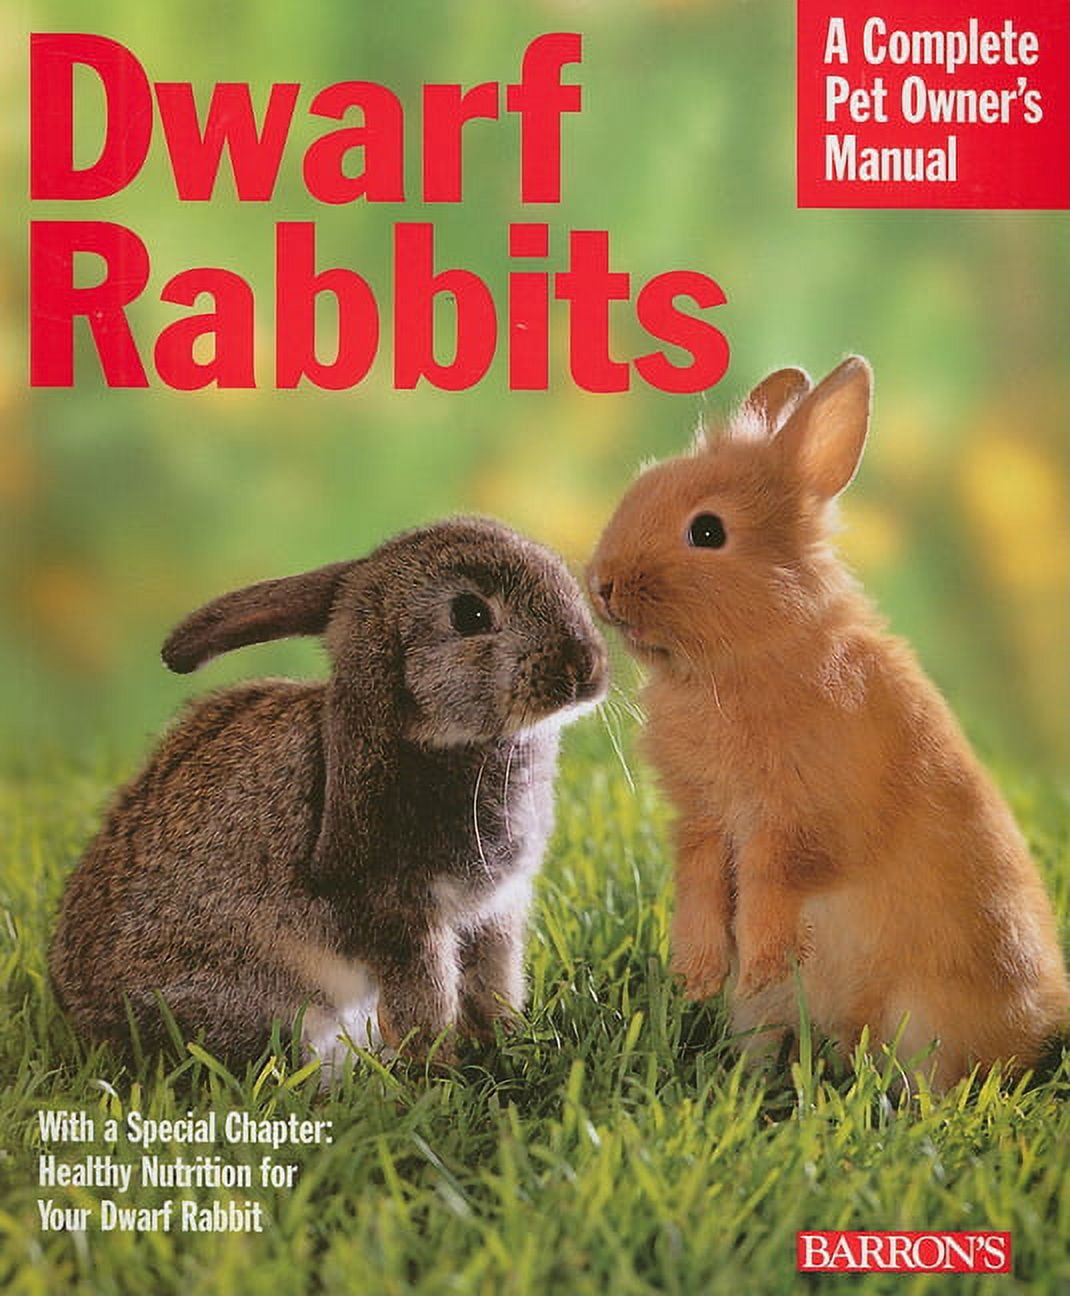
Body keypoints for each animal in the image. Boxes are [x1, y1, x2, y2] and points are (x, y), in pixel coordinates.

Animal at [50, 516, 608, 1070]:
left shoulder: (494, 912)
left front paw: (505, 1043)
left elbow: (495, 984)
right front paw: (440, 1072)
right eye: (469, 614)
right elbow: (426, 1003)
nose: (585, 665)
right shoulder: (404, 918)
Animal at [587, 358, 1069, 1091]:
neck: (761, 648)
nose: (602, 583)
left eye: (708, 531)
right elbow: (701, 887)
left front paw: (757, 957)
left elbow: (771, 881)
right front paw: (696, 973)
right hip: (768, 1017)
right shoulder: (704, 821)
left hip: (923, 1019)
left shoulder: (801, 820)